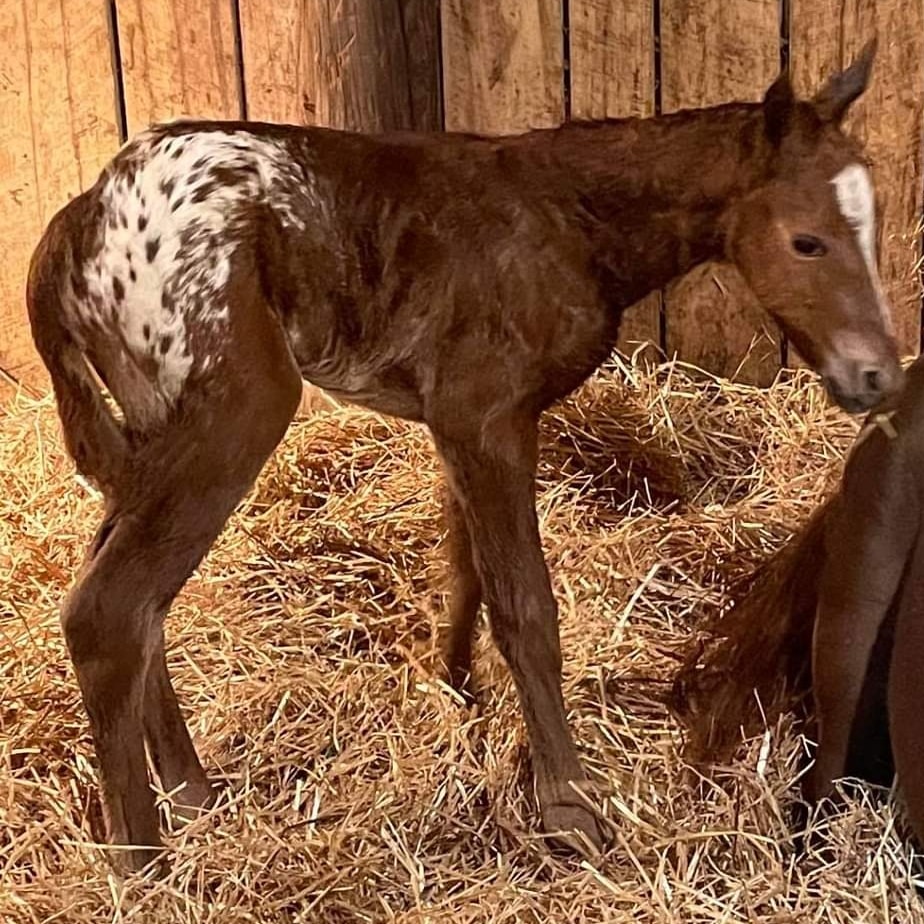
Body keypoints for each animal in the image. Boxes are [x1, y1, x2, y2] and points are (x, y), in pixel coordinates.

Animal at [26, 40, 896, 872]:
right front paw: (567, 807)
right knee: (109, 607)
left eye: (873, 224)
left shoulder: (459, 421)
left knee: (135, 600)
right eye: (807, 241)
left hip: (152, 426)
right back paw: (144, 862)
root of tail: (79, 219)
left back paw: (194, 795)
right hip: (235, 409)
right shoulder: (486, 414)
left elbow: (465, 566)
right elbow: (525, 606)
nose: (877, 375)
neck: (568, 216)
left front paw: (456, 688)